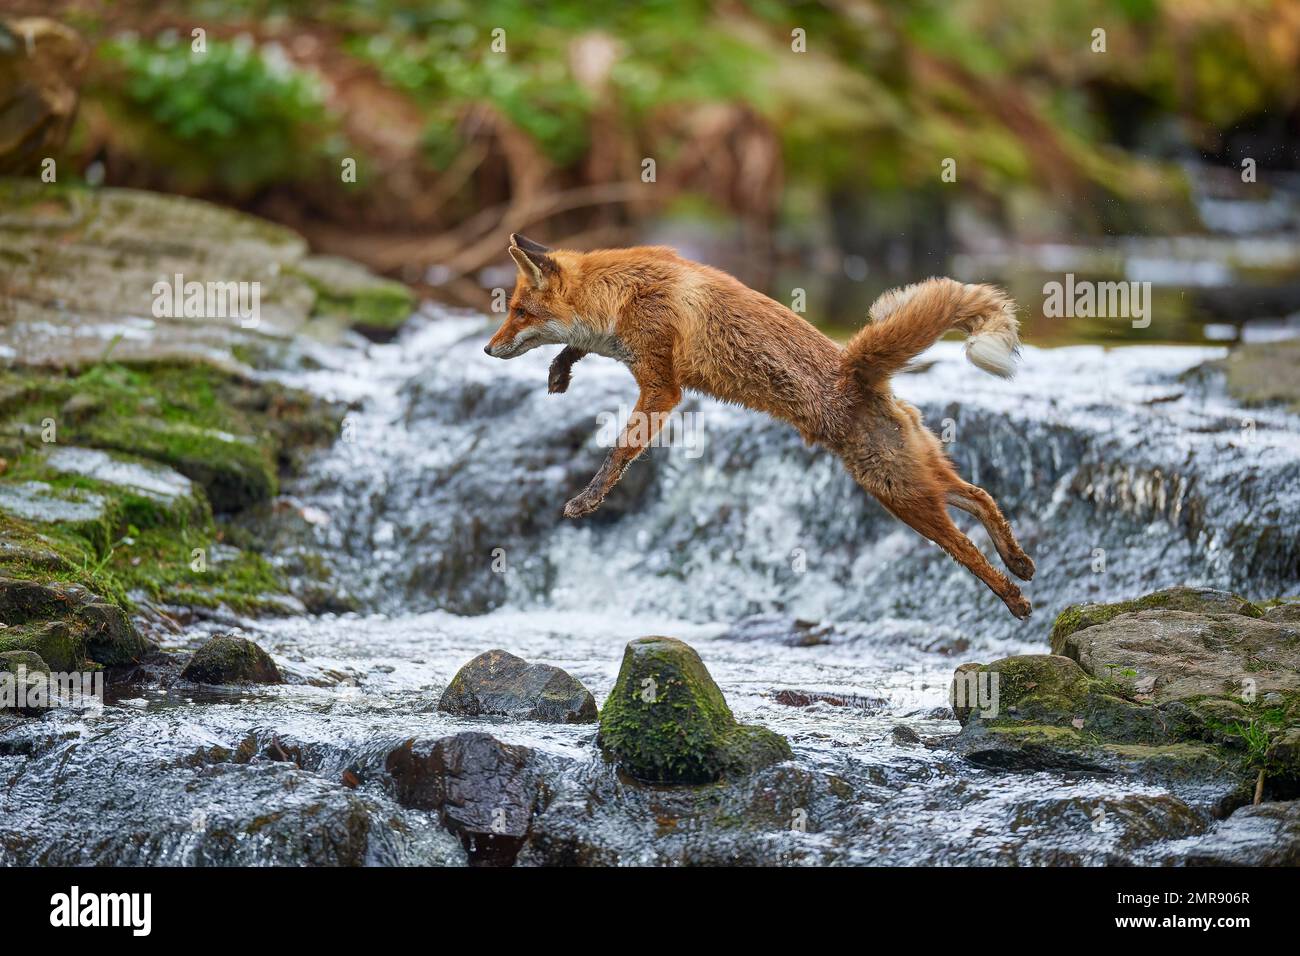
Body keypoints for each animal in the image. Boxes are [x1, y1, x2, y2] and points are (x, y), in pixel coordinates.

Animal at [485, 233, 1035, 619]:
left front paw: (589, 498)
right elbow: (576, 345)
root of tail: (854, 373)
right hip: (910, 476)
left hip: (898, 492)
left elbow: (619, 451)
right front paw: (561, 370)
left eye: (519, 312)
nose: (488, 349)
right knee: (979, 495)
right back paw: (1019, 561)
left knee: (964, 546)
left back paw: (1012, 594)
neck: (621, 292)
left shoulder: (662, 387)